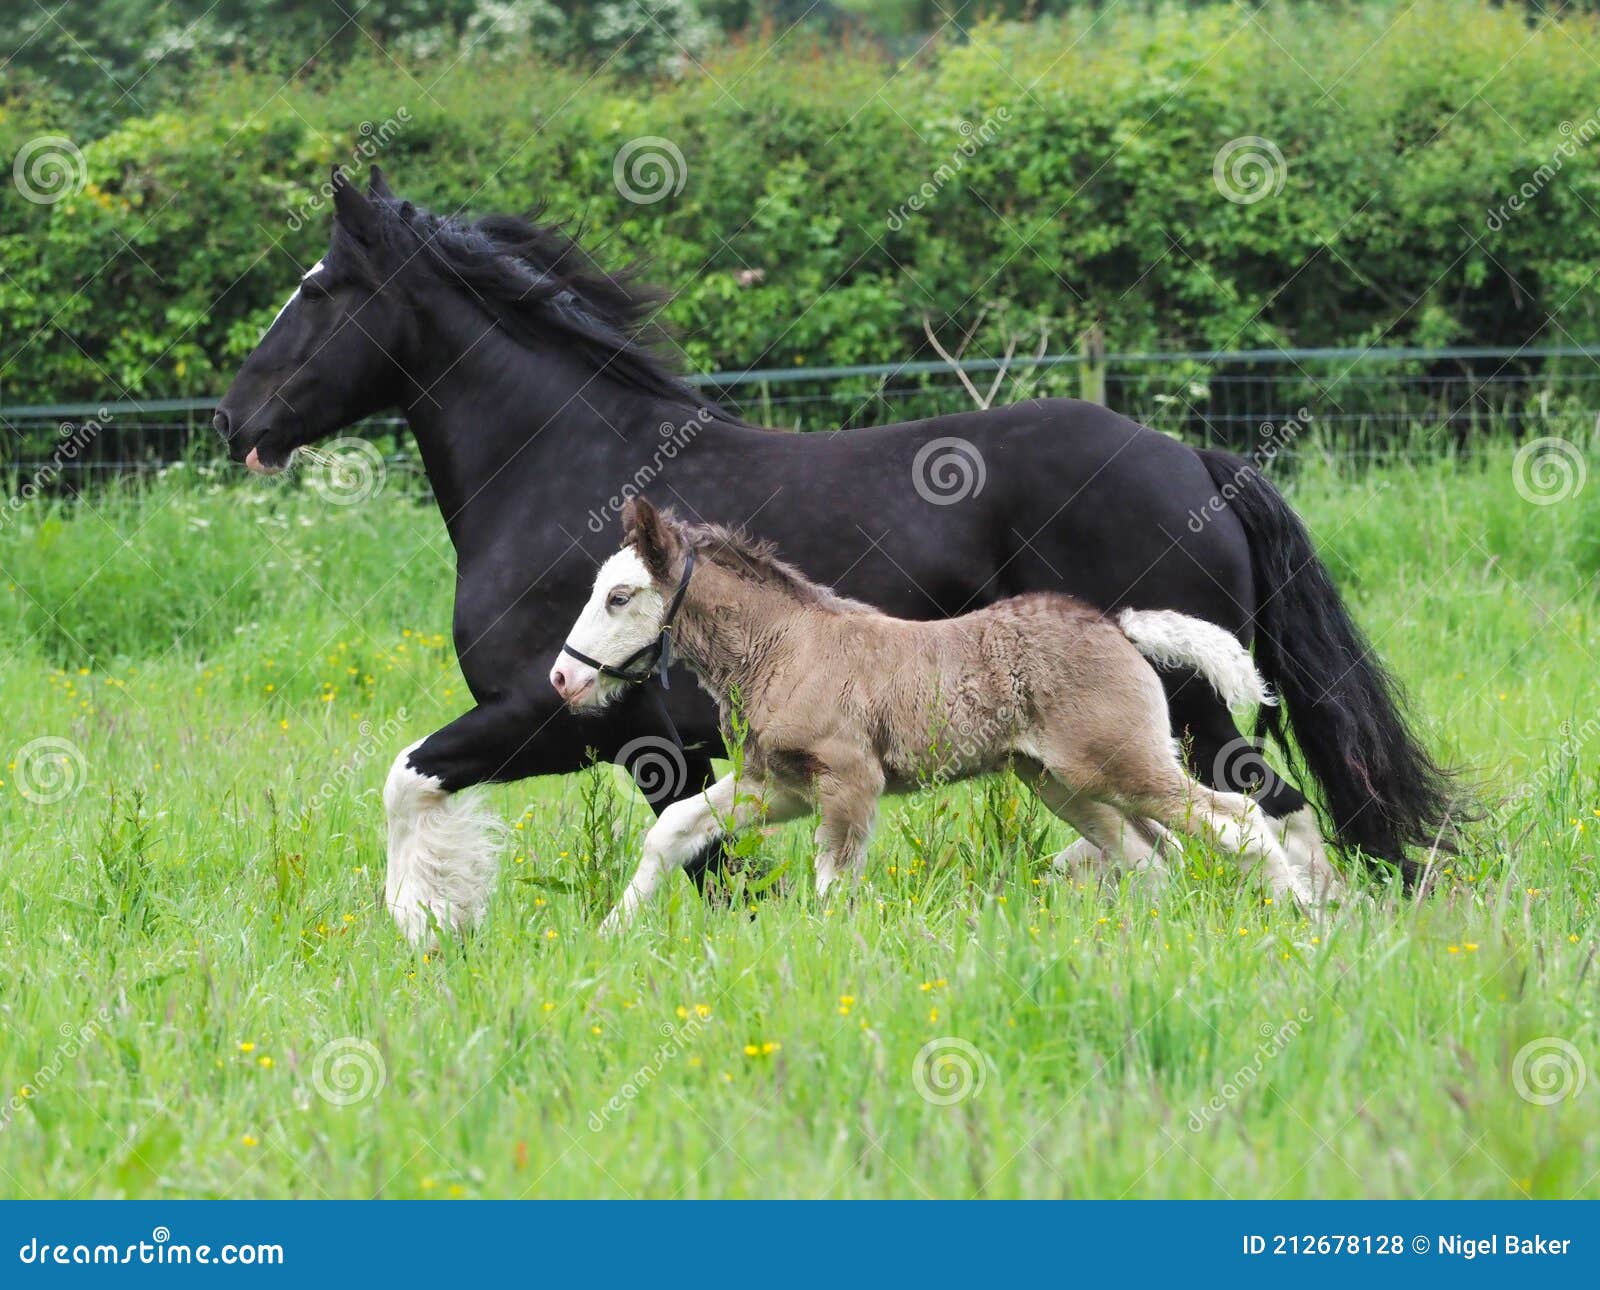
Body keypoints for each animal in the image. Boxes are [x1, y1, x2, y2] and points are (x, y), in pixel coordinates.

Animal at [555, 497, 1339, 930]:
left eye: (619, 597)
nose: (563, 678)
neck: (784, 646)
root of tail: (1118, 627)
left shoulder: (850, 781)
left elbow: (832, 884)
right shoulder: (778, 783)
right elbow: (673, 829)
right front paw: (613, 932)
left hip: (1120, 763)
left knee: (1236, 821)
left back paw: (1304, 916)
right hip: (1059, 780)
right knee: (1146, 857)